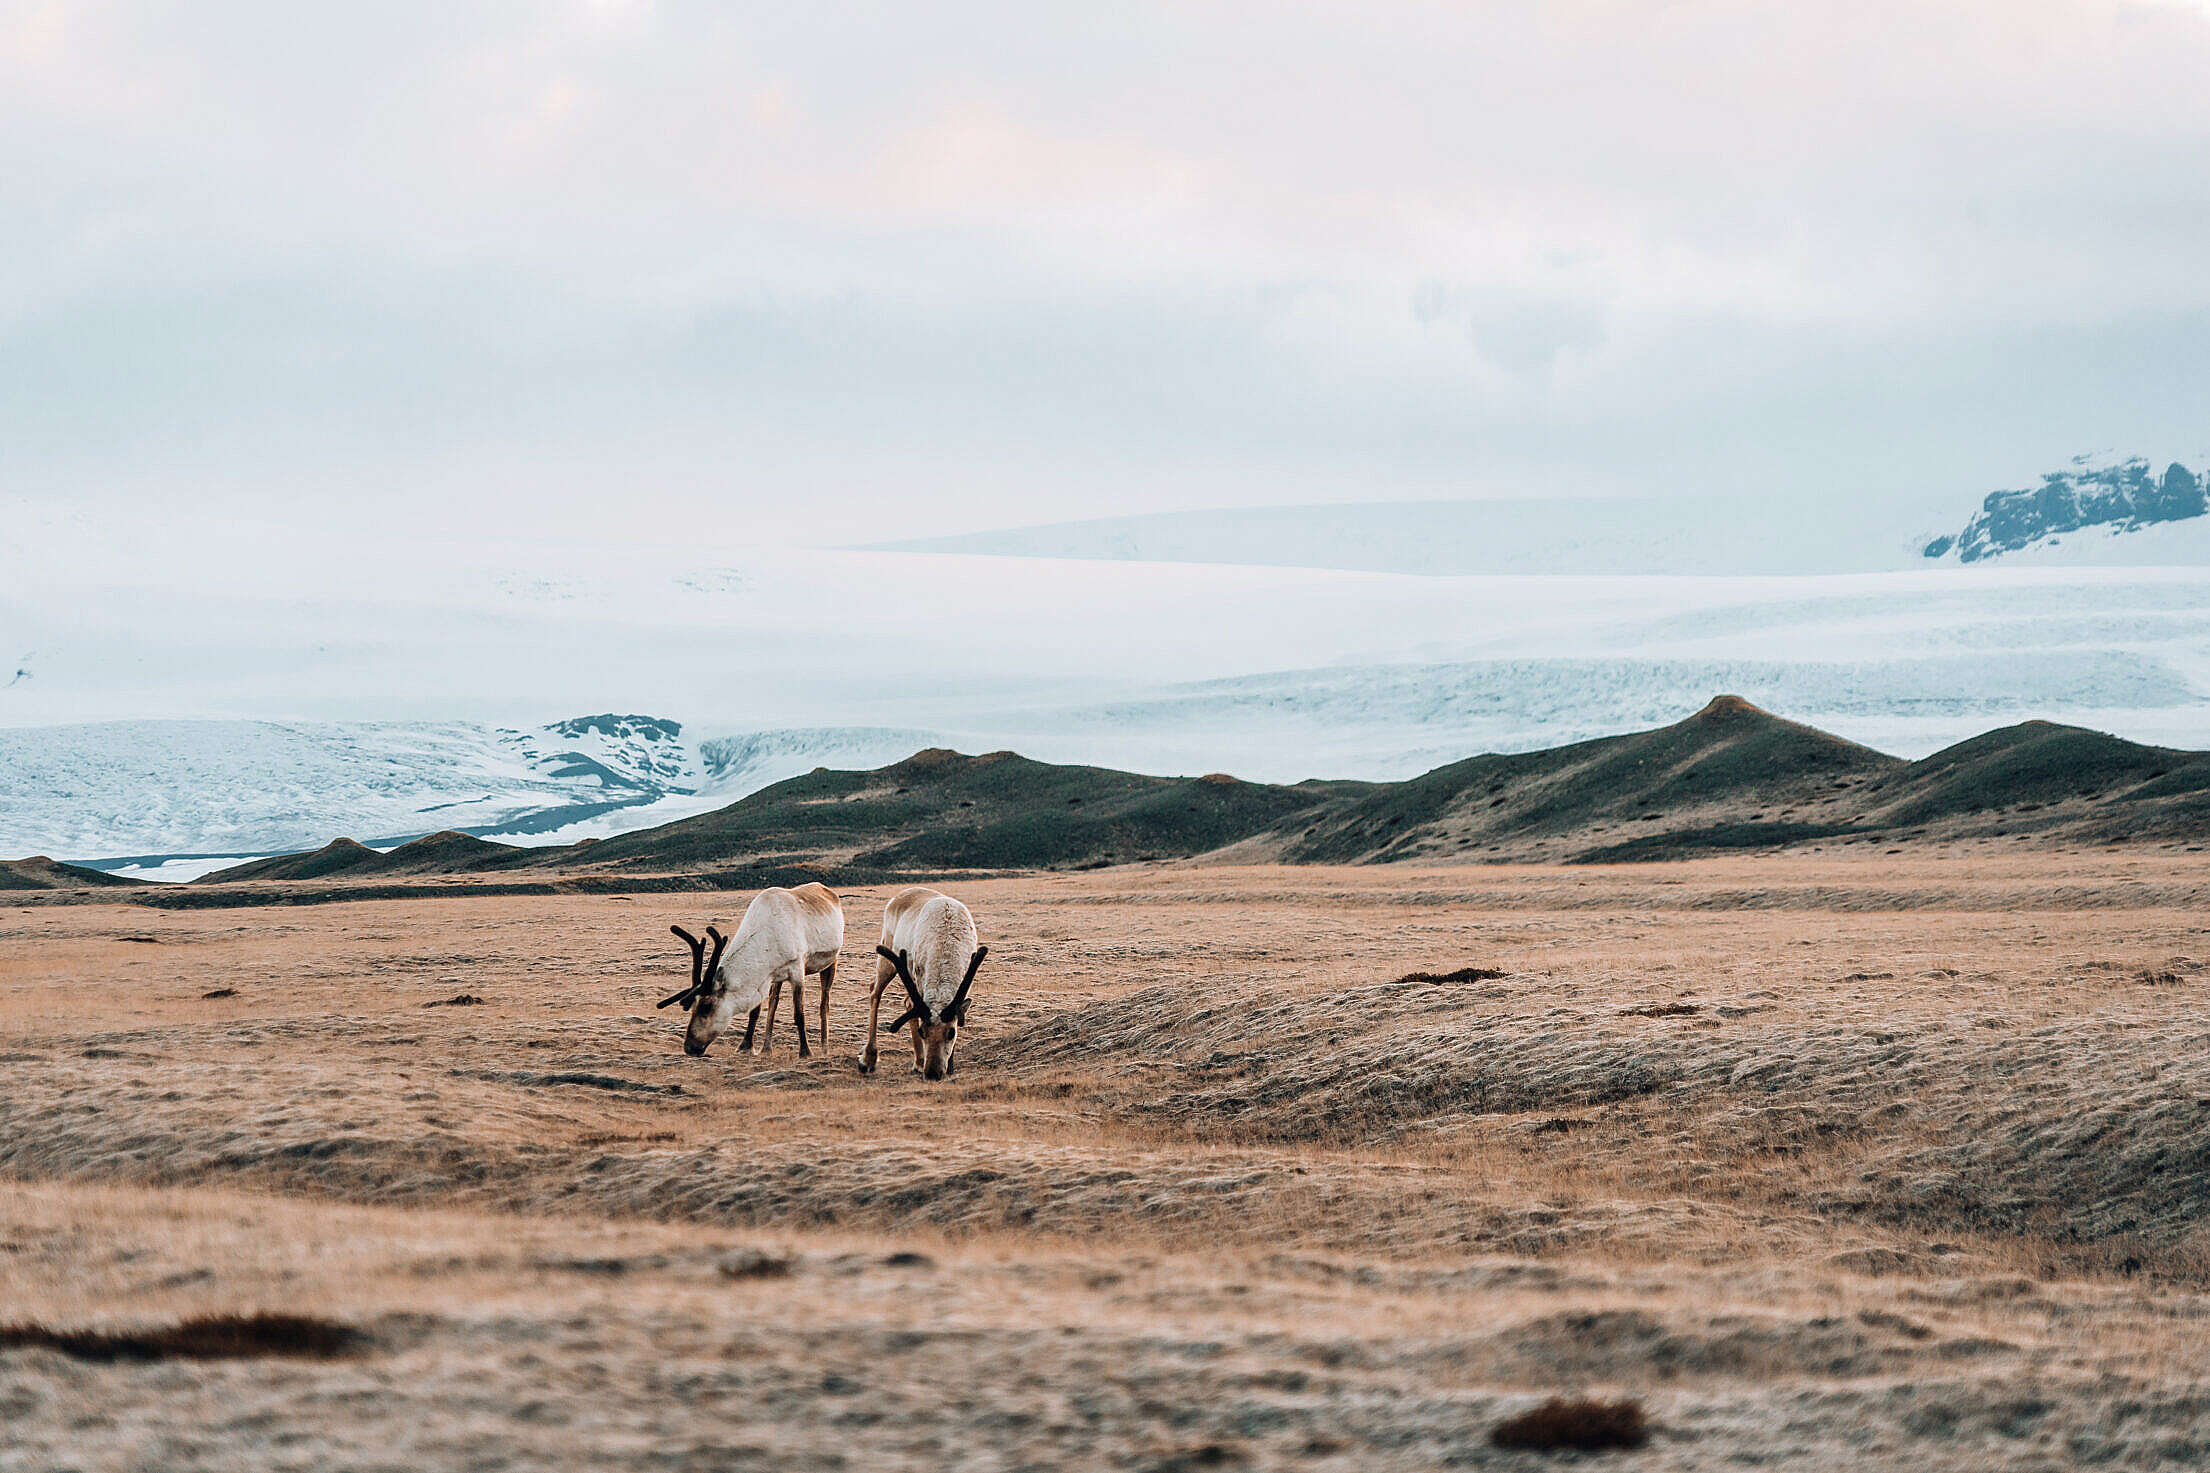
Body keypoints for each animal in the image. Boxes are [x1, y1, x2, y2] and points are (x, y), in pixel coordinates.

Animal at [659, 882, 844, 1058]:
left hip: (831, 962)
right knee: (774, 1002)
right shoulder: (764, 975)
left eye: (706, 1006)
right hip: (778, 978)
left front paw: (805, 1052)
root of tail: (828, 891)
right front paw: (746, 1046)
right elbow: (756, 1011)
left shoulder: (797, 969)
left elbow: (799, 1014)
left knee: (824, 1003)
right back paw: (766, 1048)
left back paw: (824, 1048)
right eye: (693, 1005)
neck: (768, 934)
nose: (689, 1047)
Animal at [858, 885, 988, 1081]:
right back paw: (869, 1059)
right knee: (875, 991)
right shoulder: (919, 976)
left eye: (952, 1032)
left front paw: (950, 1066)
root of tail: (900, 894)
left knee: (907, 1002)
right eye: (922, 1031)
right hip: (887, 954)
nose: (932, 1073)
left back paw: (919, 1061)